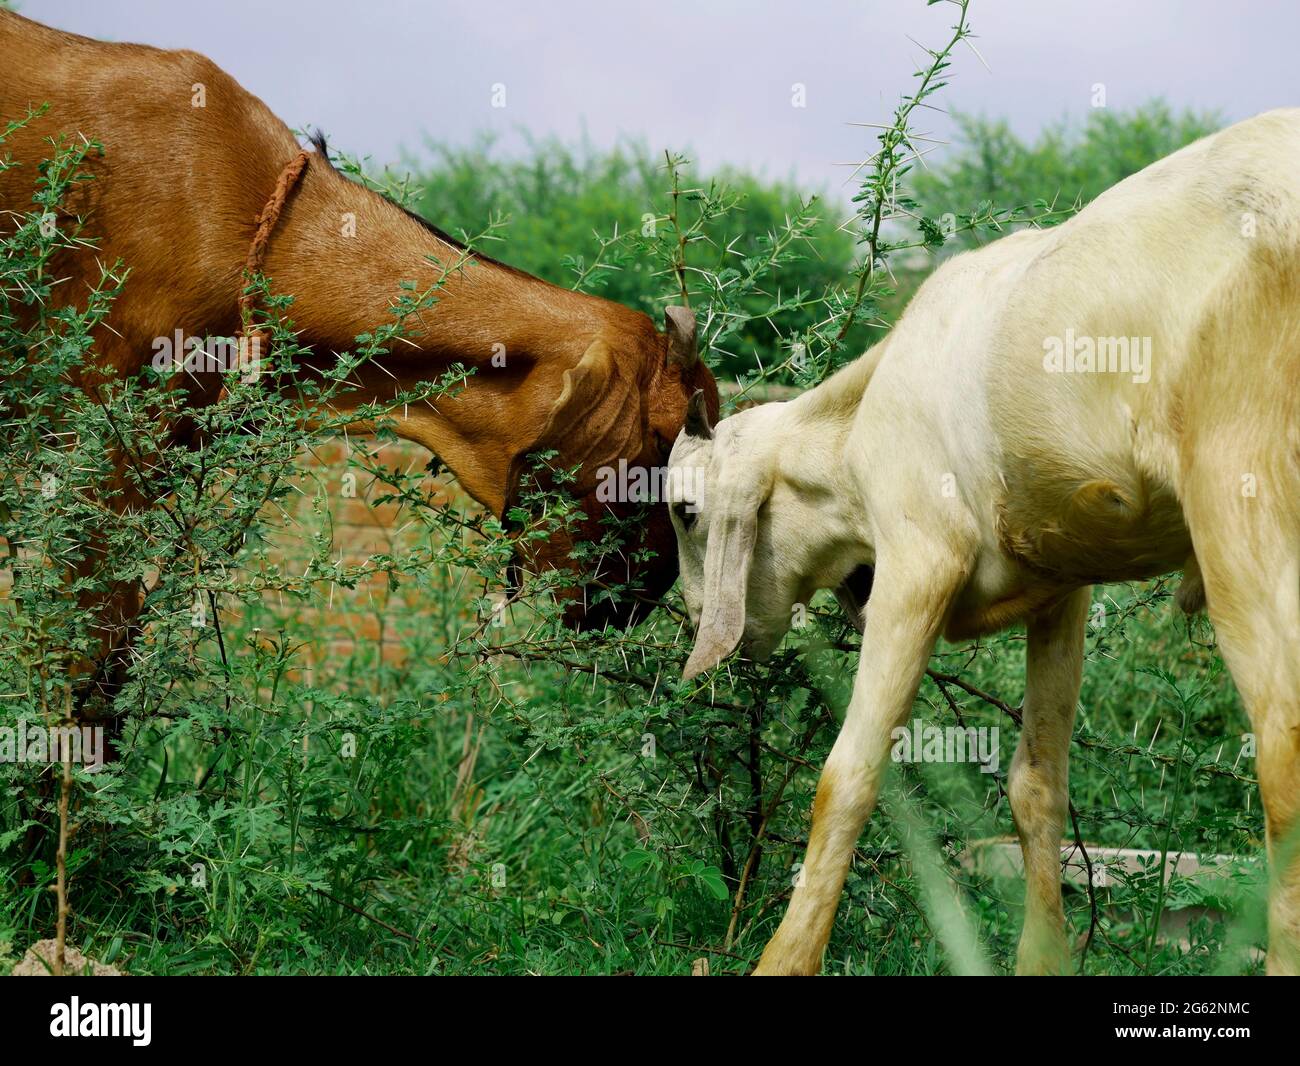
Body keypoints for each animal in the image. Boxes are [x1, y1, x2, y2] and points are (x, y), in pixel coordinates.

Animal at [668, 108, 1300, 975]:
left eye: (684, 512)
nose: (702, 626)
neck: (853, 434)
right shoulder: (1062, 586)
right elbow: (1037, 782)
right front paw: (1042, 958)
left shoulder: (918, 562)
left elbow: (848, 777)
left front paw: (782, 961)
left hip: (1242, 497)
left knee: (1284, 752)